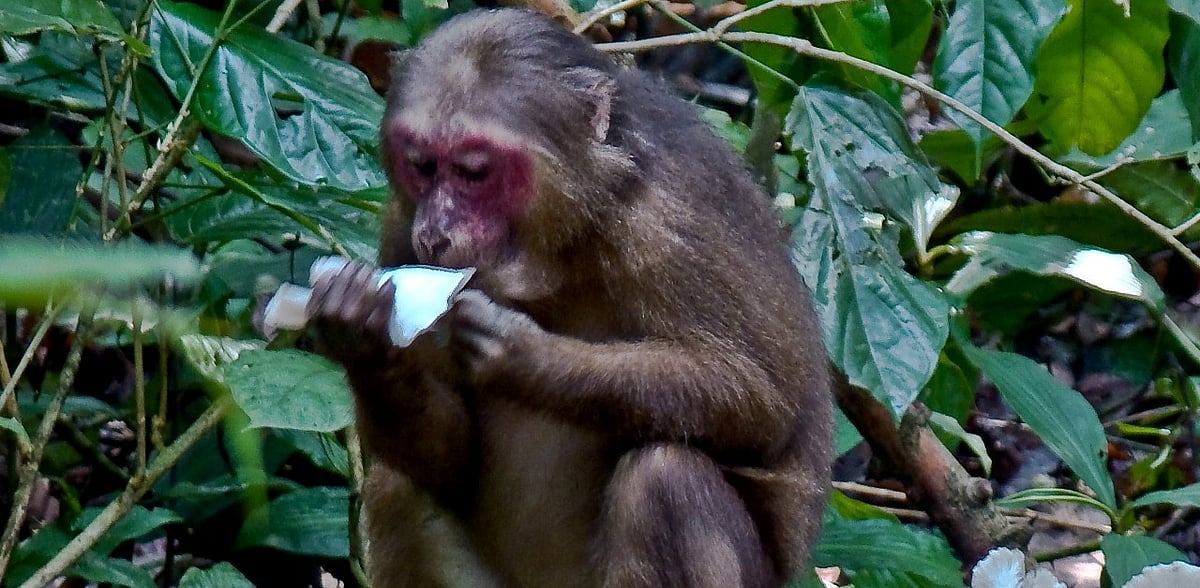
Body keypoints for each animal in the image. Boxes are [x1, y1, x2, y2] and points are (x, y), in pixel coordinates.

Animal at [309, 8, 832, 588]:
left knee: (663, 478)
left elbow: (763, 406)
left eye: (474, 171)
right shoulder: (400, 225)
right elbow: (449, 463)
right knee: (396, 485)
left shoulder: (670, 219)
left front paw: (529, 359)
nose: (436, 232)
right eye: (422, 165)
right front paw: (360, 334)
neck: (560, 244)